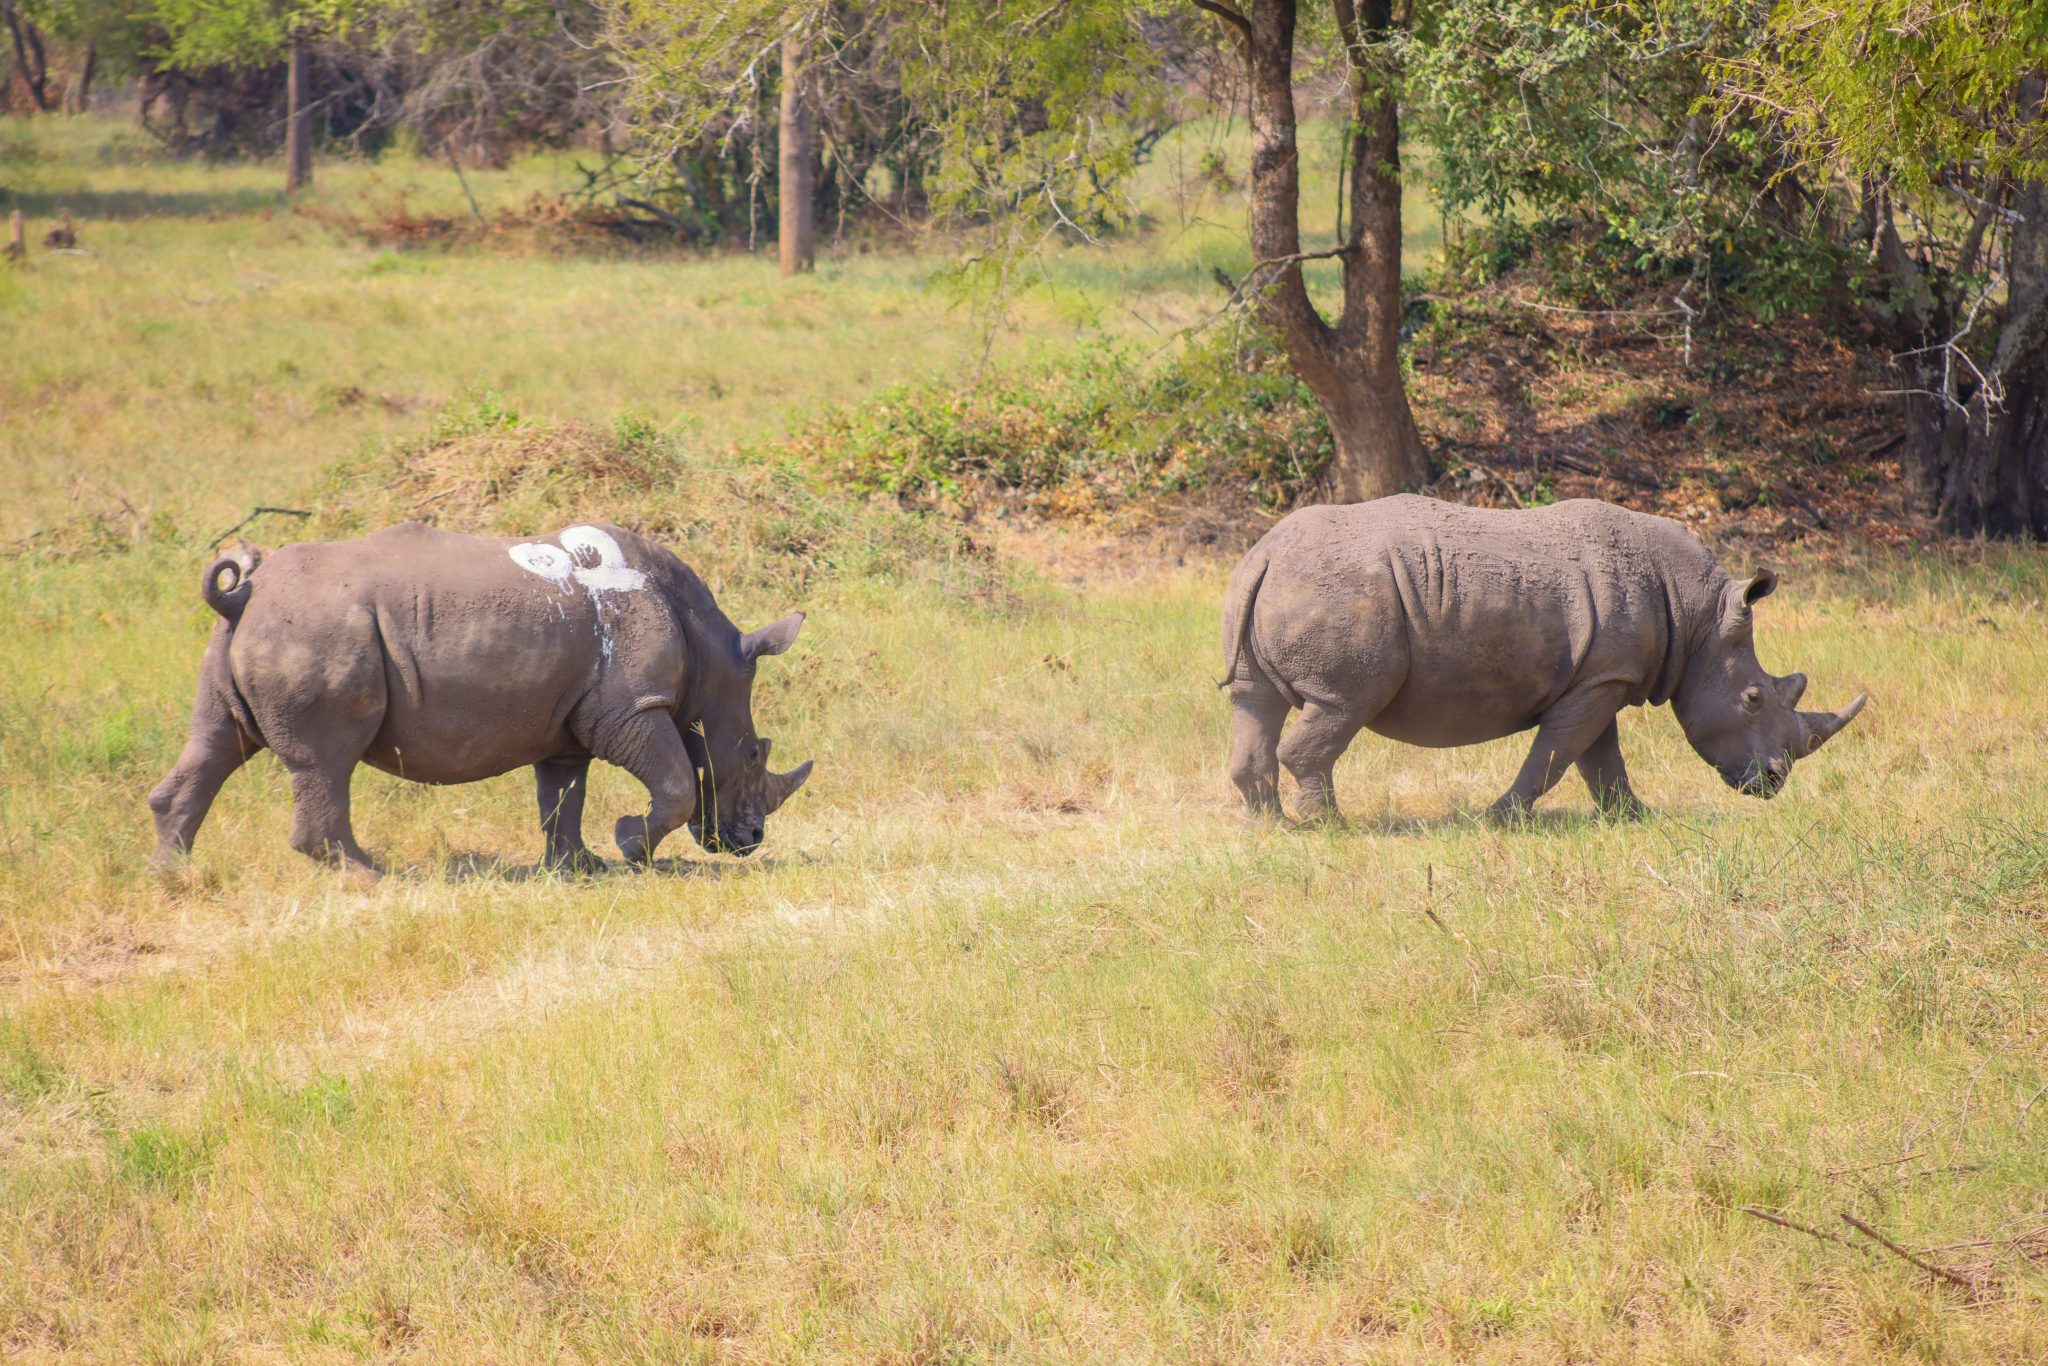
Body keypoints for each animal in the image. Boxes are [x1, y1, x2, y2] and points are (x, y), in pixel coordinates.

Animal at [148, 522, 813, 875]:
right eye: (753, 755)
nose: (750, 842)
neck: (711, 653)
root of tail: (244, 593)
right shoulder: (632, 708)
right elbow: (675, 783)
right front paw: (629, 847)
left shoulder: (570, 717)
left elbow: (562, 795)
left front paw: (579, 868)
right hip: (316, 631)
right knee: (325, 762)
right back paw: (372, 876)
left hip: (248, 636)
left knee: (216, 742)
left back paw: (172, 876)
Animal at [1220, 496, 1867, 821]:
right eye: (1753, 699)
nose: (1773, 783)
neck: (1699, 618)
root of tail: (1266, 554)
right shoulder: (1600, 678)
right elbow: (1558, 754)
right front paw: (1498, 820)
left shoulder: (1602, 675)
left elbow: (1600, 757)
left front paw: (1633, 819)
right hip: (1342, 593)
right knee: (1344, 703)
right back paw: (1329, 827)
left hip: (1279, 584)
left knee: (1255, 701)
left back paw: (1270, 824)